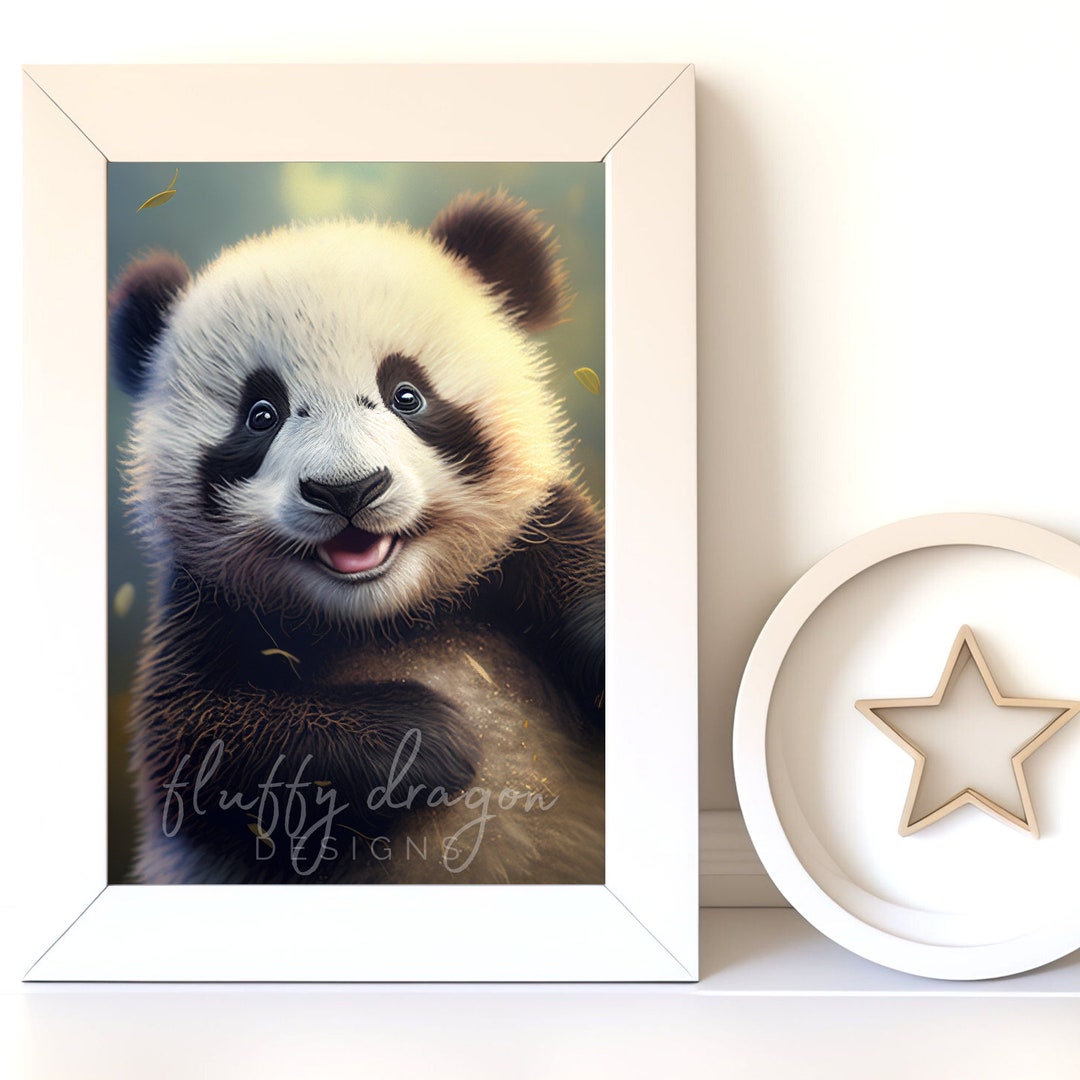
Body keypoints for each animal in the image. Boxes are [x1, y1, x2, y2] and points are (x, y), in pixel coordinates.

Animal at [110, 190, 605, 885]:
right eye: (261, 414)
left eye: (407, 395)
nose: (347, 491)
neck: (387, 617)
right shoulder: (204, 608)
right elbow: (196, 742)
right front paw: (424, 737)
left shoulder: (534, 535)